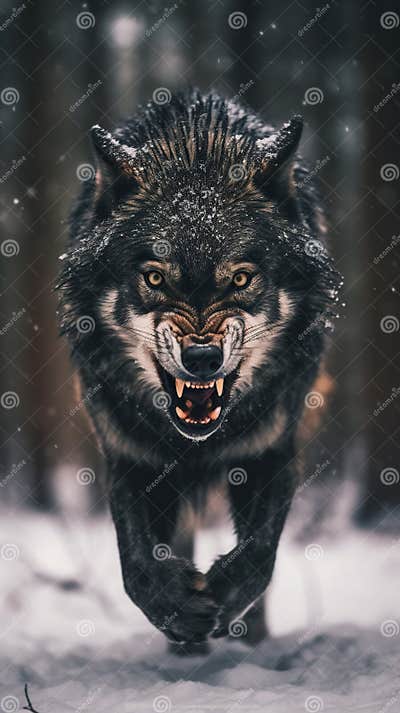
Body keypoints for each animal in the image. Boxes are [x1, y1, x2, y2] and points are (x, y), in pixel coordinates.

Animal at [57, 90, 340, 650]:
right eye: (154, 278)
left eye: (241, 278)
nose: (203, 358)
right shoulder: (130, 458)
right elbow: (136, 562)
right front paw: (177, 611)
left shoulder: (270, 453)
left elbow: (260, 555)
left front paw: (226, 600)